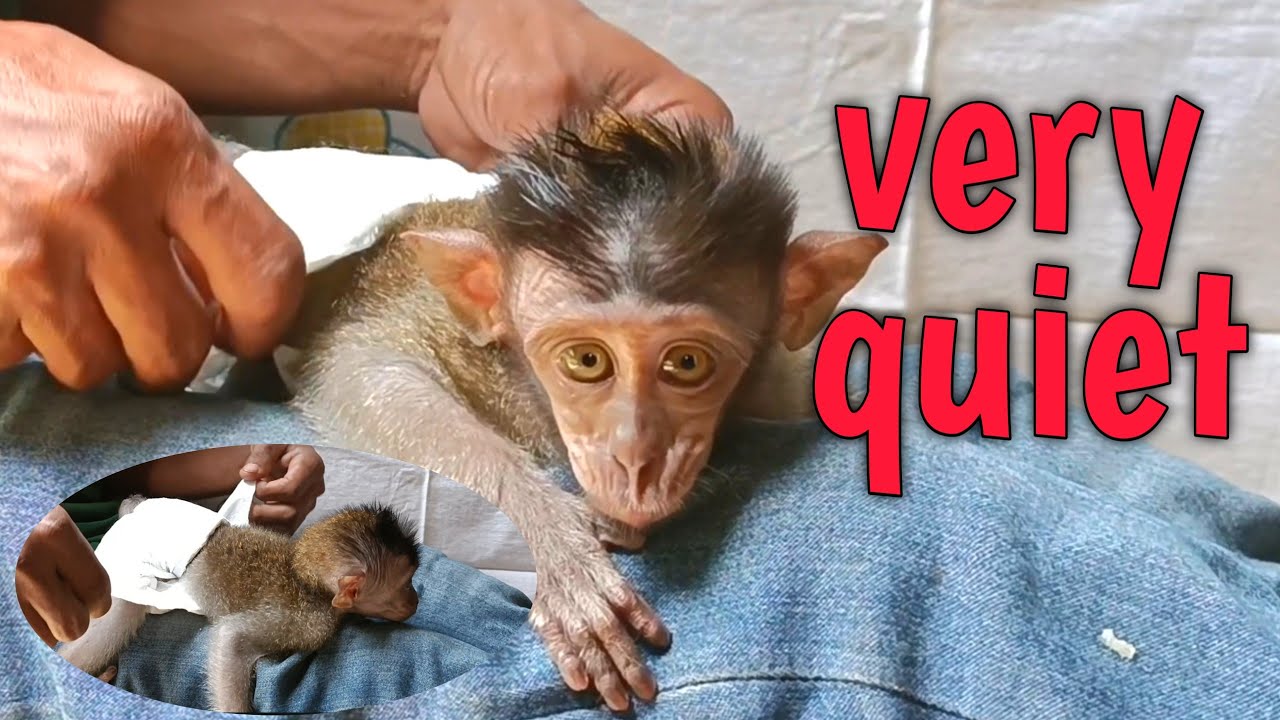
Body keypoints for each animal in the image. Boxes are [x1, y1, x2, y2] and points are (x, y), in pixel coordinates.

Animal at [57, 501, 420, 714]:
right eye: (405, 583)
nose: (415, 599)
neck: (307, 581)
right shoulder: (309, 624)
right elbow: (233, 640)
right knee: (124, 612)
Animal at [283, 110, 888, 712]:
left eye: (687, 363)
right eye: (587, 360)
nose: (636, 459)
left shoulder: (782, 384)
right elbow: (357, 367)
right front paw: (555, 538)